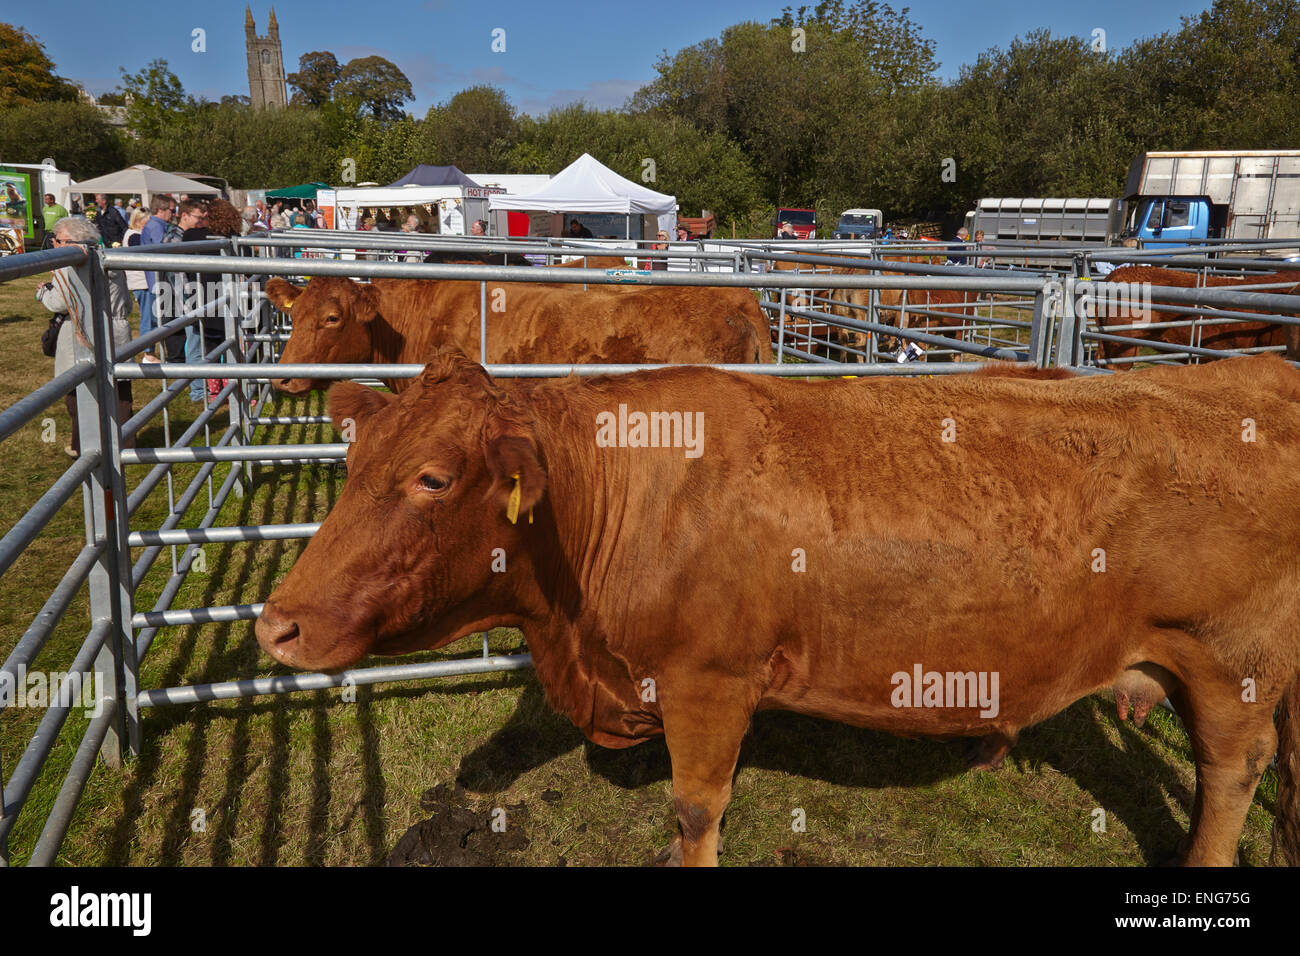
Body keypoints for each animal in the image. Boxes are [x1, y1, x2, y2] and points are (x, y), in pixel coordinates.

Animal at [256, 351, 1300, 866]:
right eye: (353, 460)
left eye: (433, 478)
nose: (277, 625)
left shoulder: (710, 682)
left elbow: (694, 810)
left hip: (1231, 669)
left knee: (1230, 774)